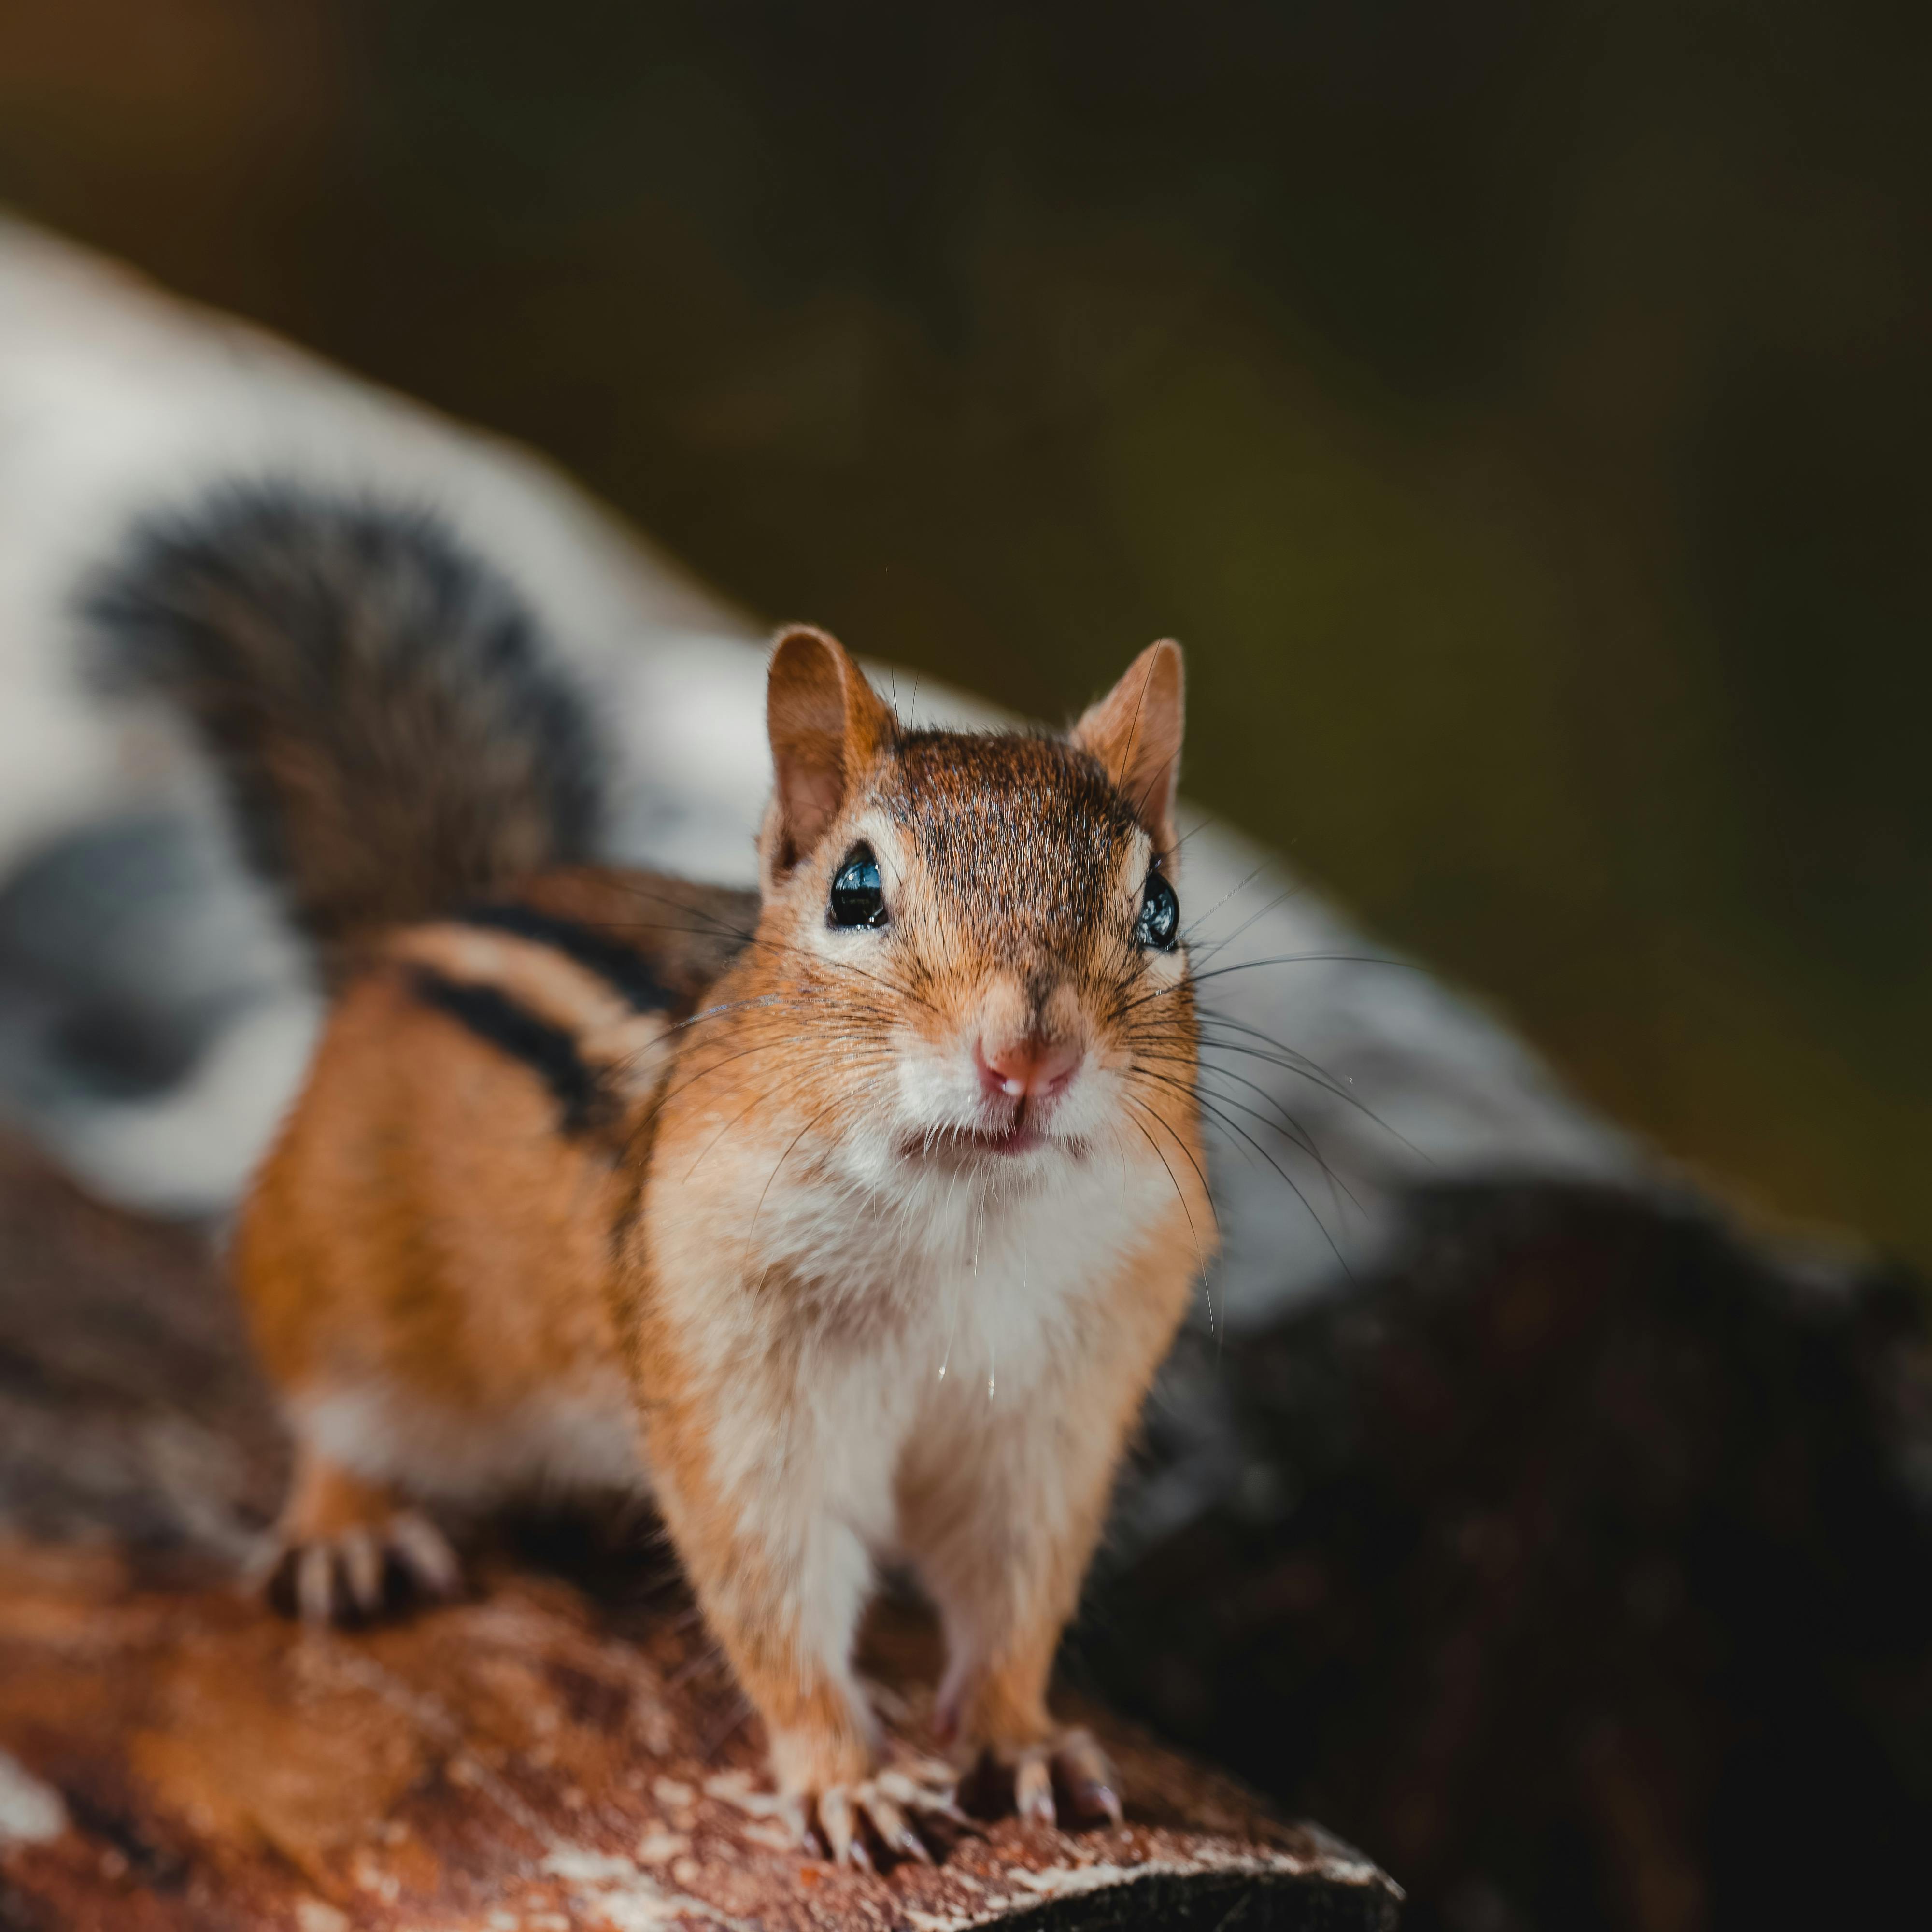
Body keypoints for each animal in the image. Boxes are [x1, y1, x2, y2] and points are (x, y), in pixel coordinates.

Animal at [88, 484, 1212, 1863]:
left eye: (1161, 907)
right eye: (854, 887)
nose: (1029, 1054)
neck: (964, 1228)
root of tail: (416, 928)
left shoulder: (1048, 1412)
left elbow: (1013, 1596)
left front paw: (1022, 1737)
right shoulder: (738, 1381)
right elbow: (773, 1588)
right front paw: (846, 1775)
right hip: (338, 1292)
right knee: (333, 1417)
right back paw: (346, 1533)